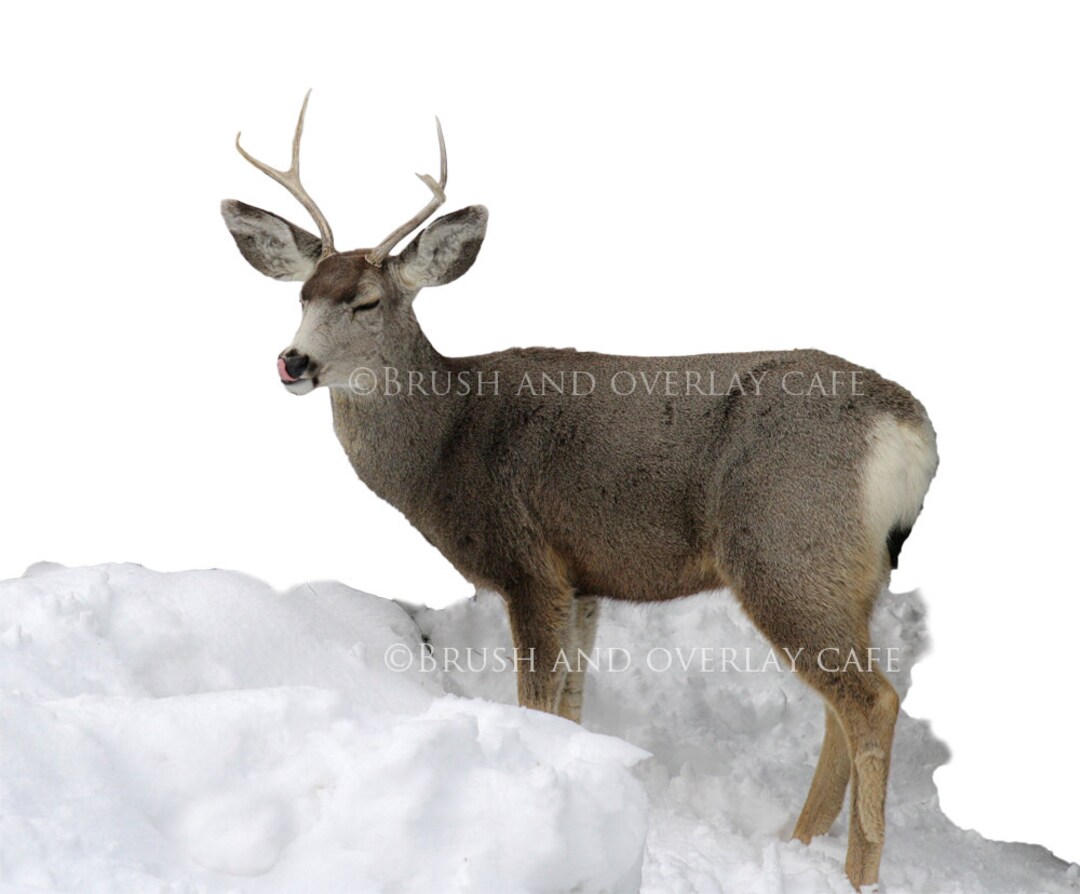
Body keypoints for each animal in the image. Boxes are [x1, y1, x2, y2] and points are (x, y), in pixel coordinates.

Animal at [220, 92, 938, 890]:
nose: (293, 361)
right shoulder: (583, 577)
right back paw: (799, 844)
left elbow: (537, 701)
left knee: (871, 701)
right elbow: (571, 705)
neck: (446, 438)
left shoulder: (526, 561)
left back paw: (855, 872)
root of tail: (909, 429)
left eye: (368, 302)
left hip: (786, 545)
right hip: (847, 571)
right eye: (302, 294)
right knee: (841, 706)